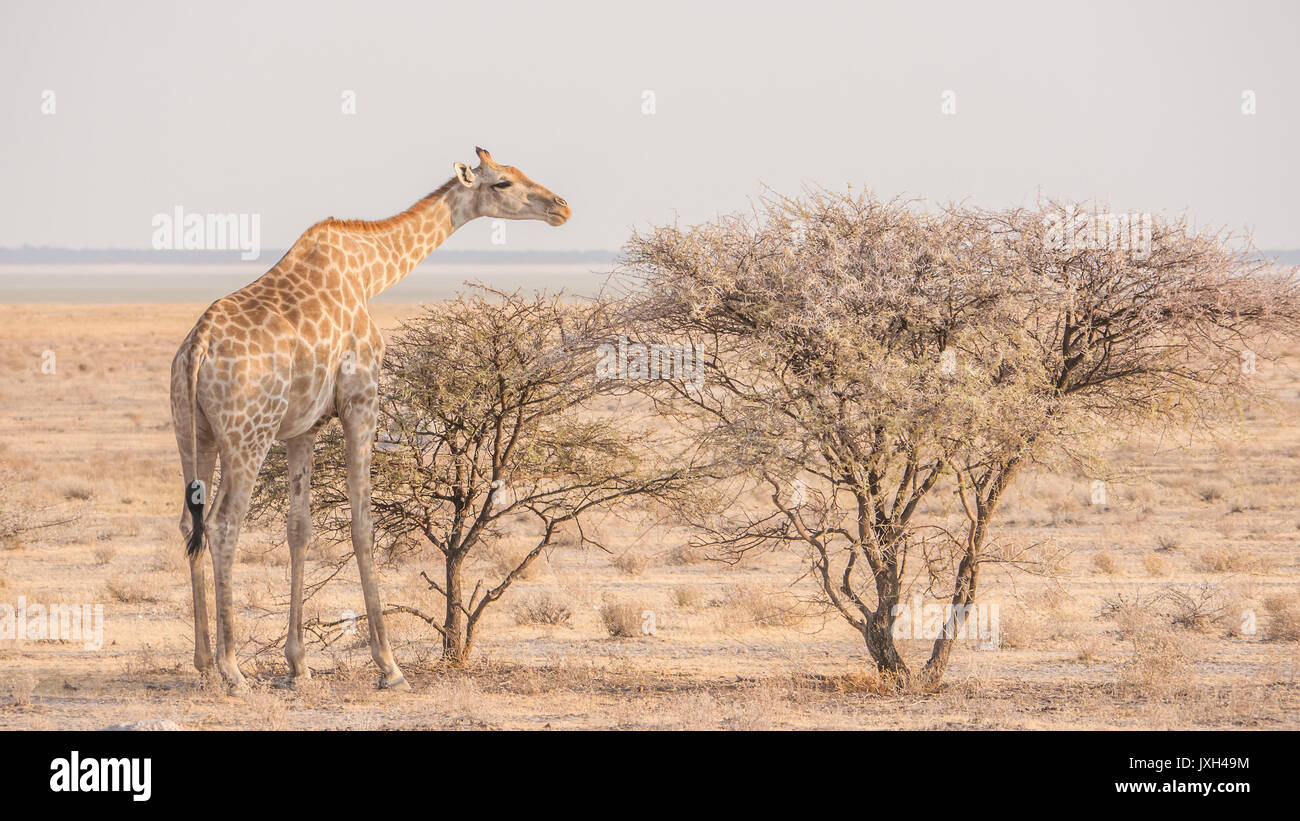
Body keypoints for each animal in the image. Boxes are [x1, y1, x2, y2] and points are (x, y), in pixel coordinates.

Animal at [169, 147, 570, 691]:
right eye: (503, 182)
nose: (561, 207)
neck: (370, 274)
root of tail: (198, 347)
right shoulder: (363, 400)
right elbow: (362, 523)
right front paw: (389, 665)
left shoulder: (302, 428)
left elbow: (300, 528)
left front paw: (298, 664)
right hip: (247, 436)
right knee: (223, 524)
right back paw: (232, 670)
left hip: (194, 435)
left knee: (188, 523)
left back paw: (204, 663)